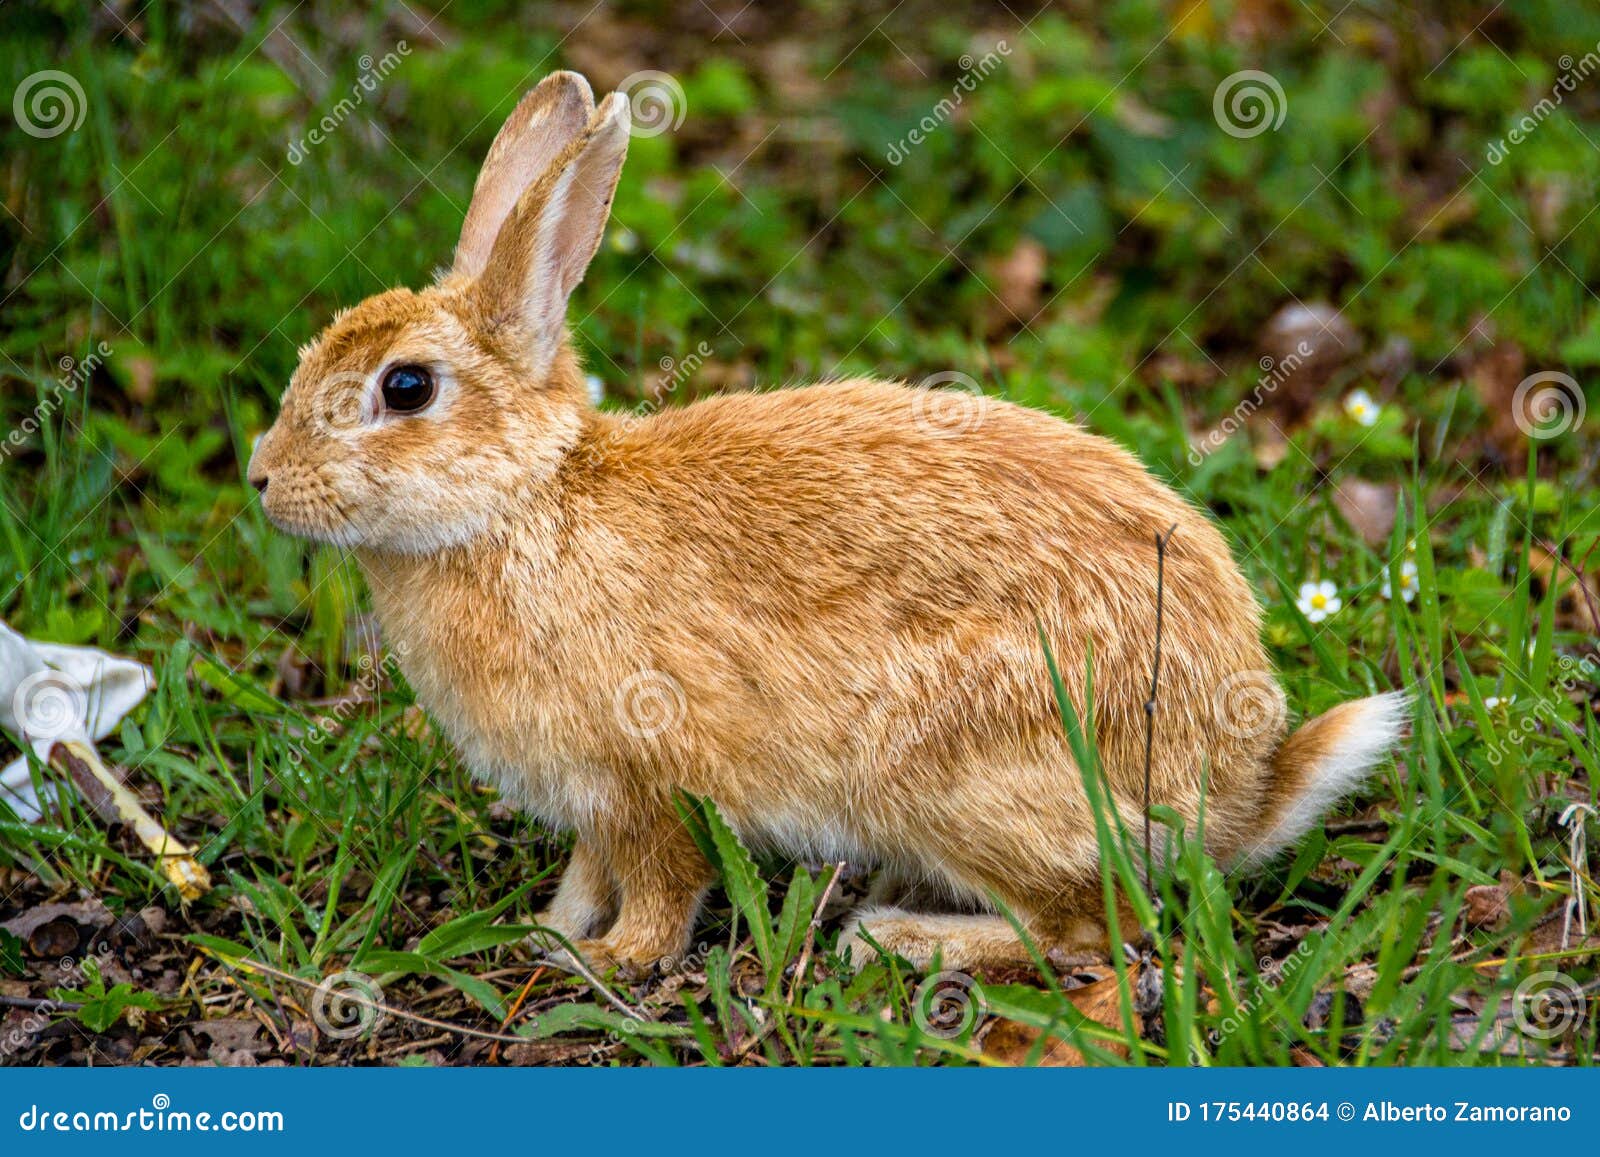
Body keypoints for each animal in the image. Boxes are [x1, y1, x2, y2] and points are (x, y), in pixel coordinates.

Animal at [248, 72, 1407, 976]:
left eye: (405, 388)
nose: (262, 480)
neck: (526, 503)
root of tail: (1239, 787)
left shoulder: (650, 773)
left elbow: (663, 883)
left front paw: (613, 958)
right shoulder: (595, 803)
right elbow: (590, 869)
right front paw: (553, 931)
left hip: (953, 772)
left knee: (1089, 926)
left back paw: (898, 939)